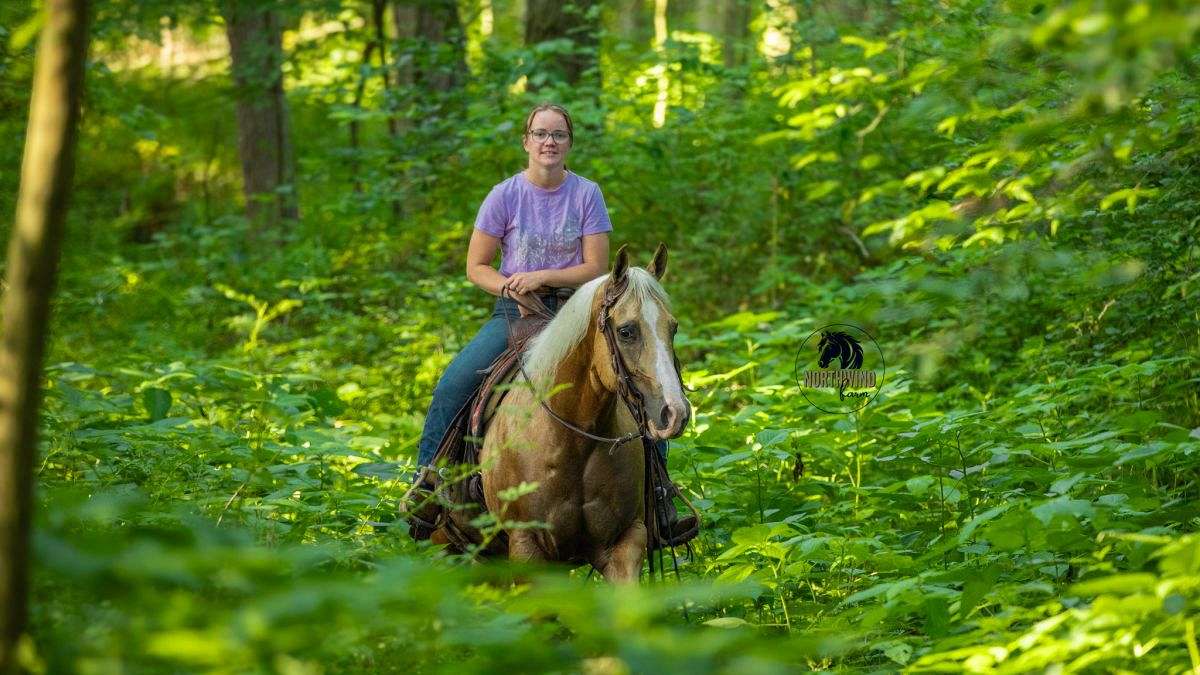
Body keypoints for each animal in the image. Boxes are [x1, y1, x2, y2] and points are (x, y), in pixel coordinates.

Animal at [429, 243, 692, 583]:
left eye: (673, 328)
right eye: (626, 331)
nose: (675, 413)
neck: (573, 438)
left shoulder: (626, 542)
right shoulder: (527, 548)